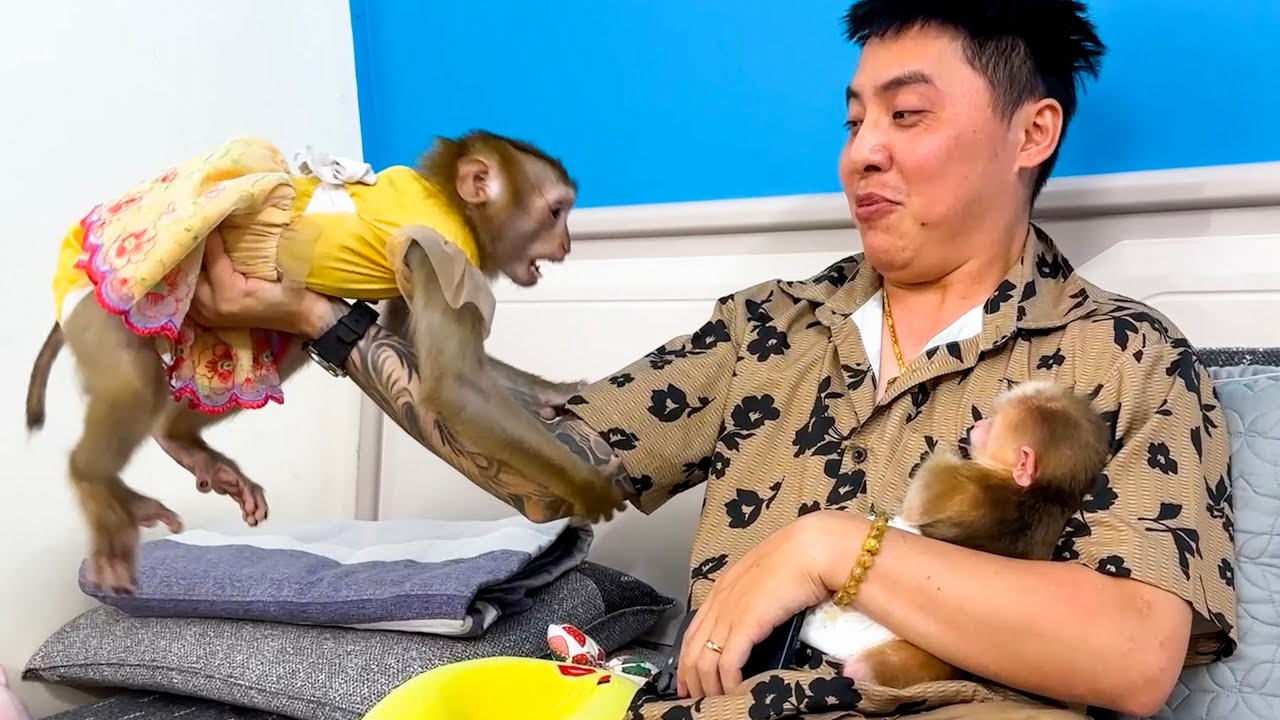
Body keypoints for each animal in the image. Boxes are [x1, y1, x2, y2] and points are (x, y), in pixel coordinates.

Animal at [25, 131, 627, 596]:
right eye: (555, 212)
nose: (567, 243)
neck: (450, 203)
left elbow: (404, 347)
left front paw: (551, 393)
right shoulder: (437, 251)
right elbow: (452, 384)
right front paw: (588, 486)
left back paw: (179, 441)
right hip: (112, 312)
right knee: (132, 385)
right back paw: (92, 479)